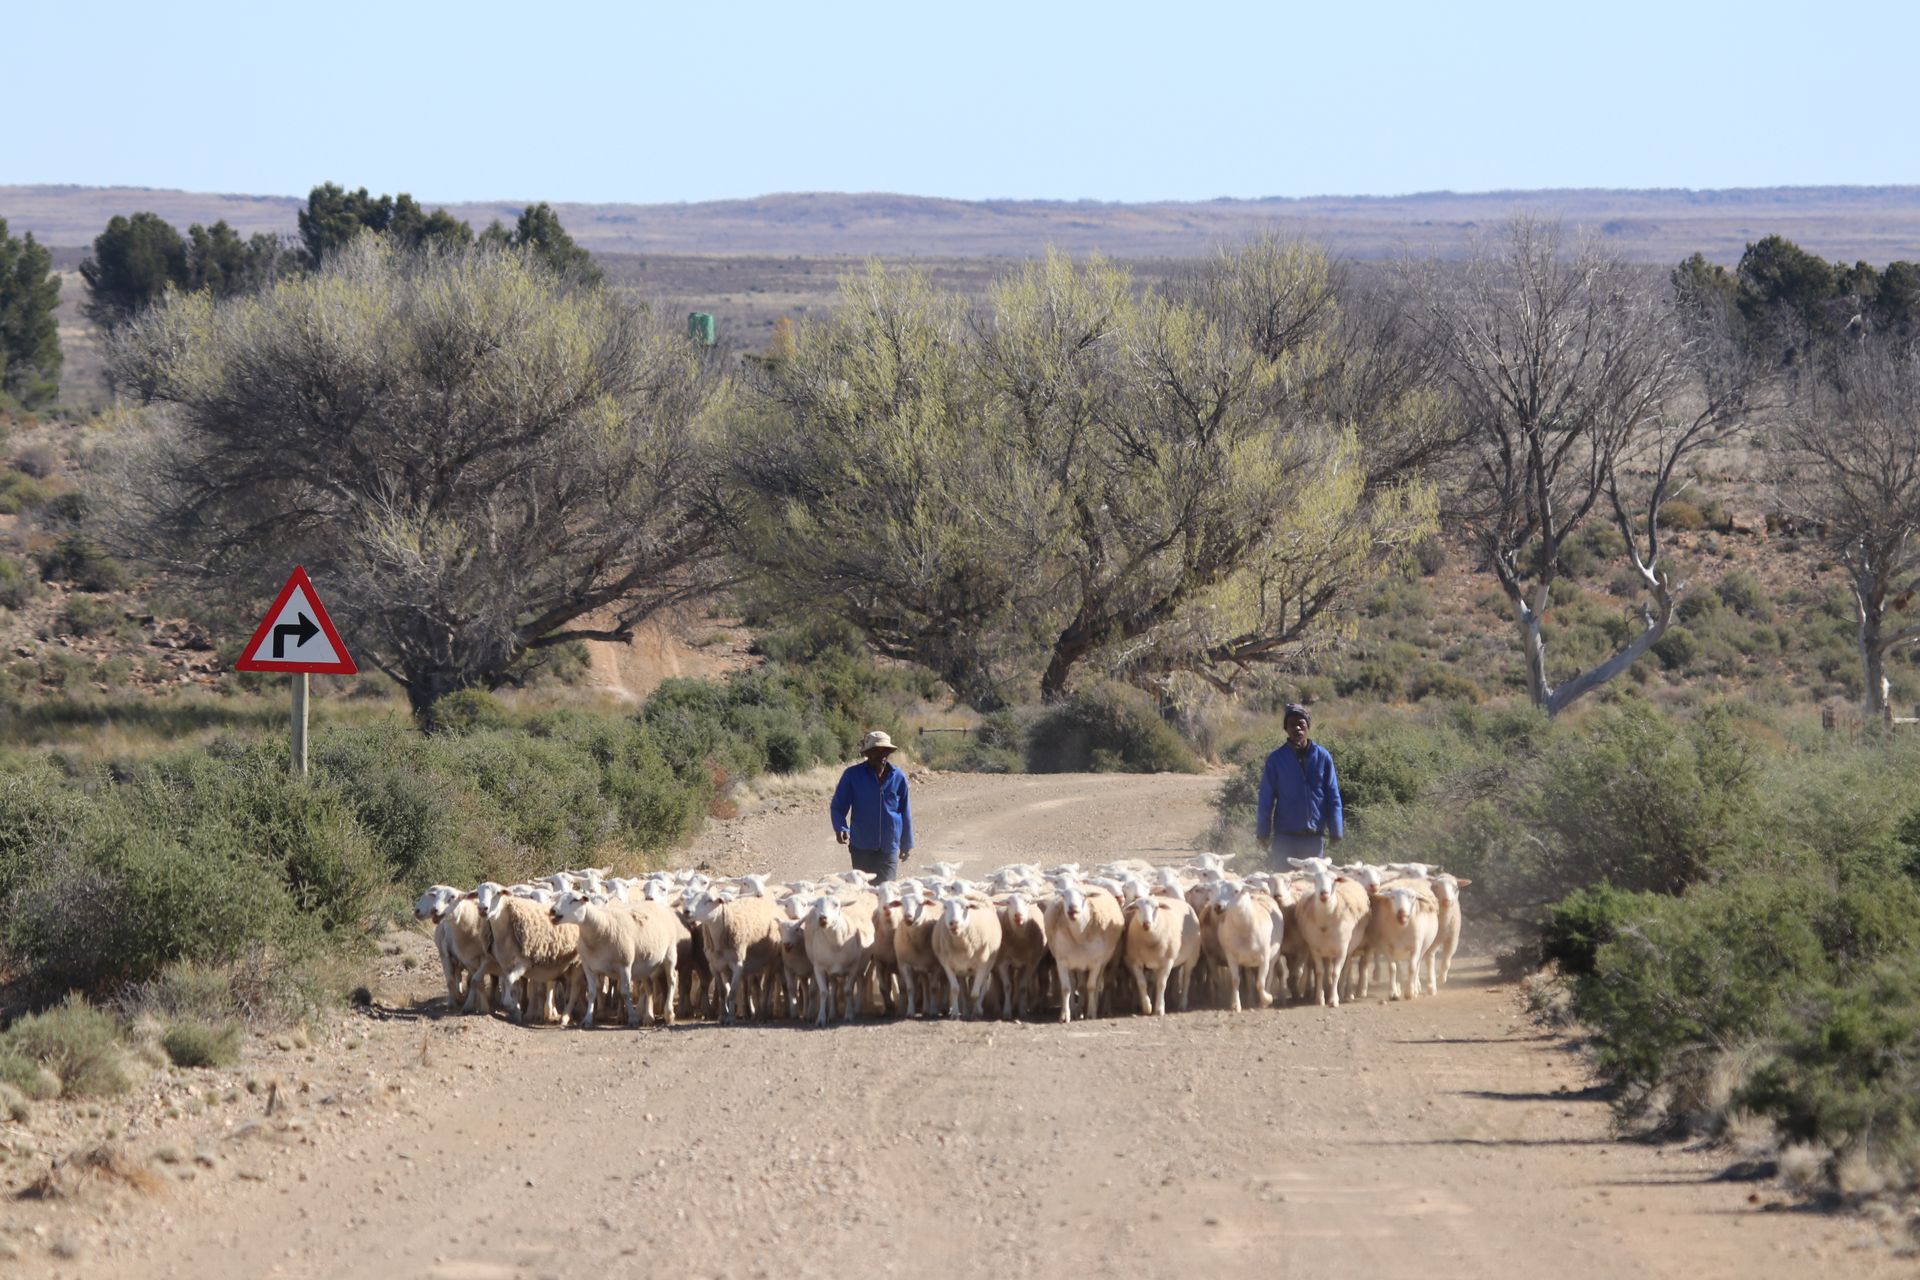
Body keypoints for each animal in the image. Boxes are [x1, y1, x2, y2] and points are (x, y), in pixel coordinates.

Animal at [550, 891, 680, 1028]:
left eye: (574, 900)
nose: (553, 910)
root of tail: (656, 904)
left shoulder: (625, 965)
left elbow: (625, 993)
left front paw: (632, 1019)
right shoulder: (588, 967)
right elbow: (592, 993)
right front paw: (587, 1020)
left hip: (670, 953)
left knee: (671, 980)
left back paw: (669, 1015)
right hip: (646, 963)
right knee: (648, 987)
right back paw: (648, 1018)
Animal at [1044, 882, 1124, 1023]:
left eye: (1084, 896)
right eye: (1064, 896)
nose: (1072, 909)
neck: (1079, 935)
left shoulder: (1096, 963)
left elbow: (1091, 986)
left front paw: (1091, 1013)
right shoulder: (1062, 961)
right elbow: (1066, 988)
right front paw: (1065, 1015)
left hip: (1102, 962)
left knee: (1095, 984)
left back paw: (1093, 1007)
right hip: (1076, 963)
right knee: (1076, 985)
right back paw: (1076, 1009)